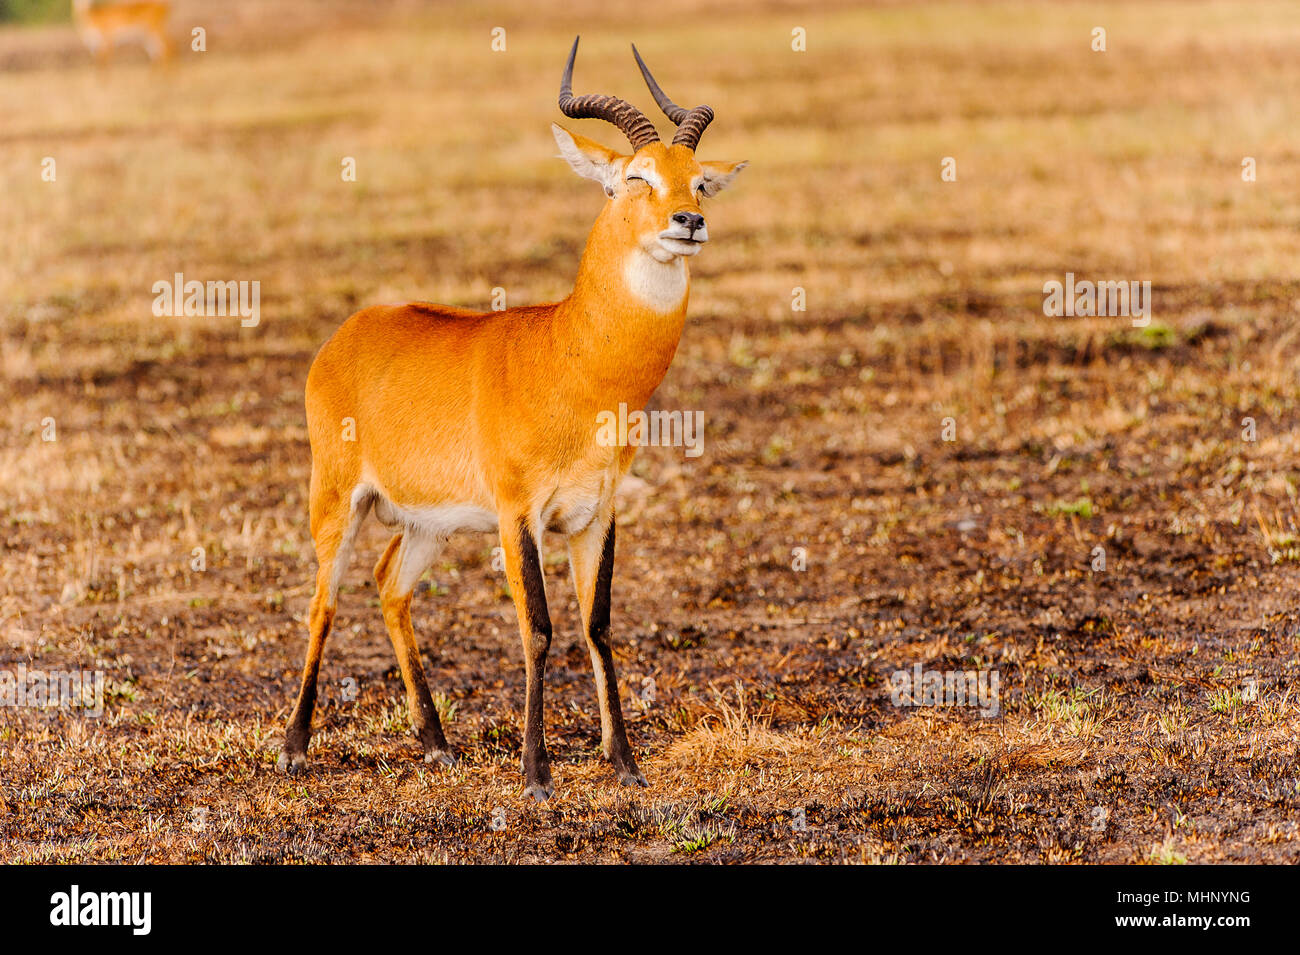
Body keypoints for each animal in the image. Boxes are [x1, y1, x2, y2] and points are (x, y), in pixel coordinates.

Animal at [278, 37, 746, 801]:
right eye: (634, 177)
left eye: (699, 182)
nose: (689, 222)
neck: (569, 359)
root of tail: (351, 330)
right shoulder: (516, 513)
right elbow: (539, 628)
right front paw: (536, 773)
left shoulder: (595, 515)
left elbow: (598, 625)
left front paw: (625, 762)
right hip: (337, 499)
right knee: (324, 601)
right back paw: (294, 747)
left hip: (428, 523)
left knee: (388, 583)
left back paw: (437, 744)